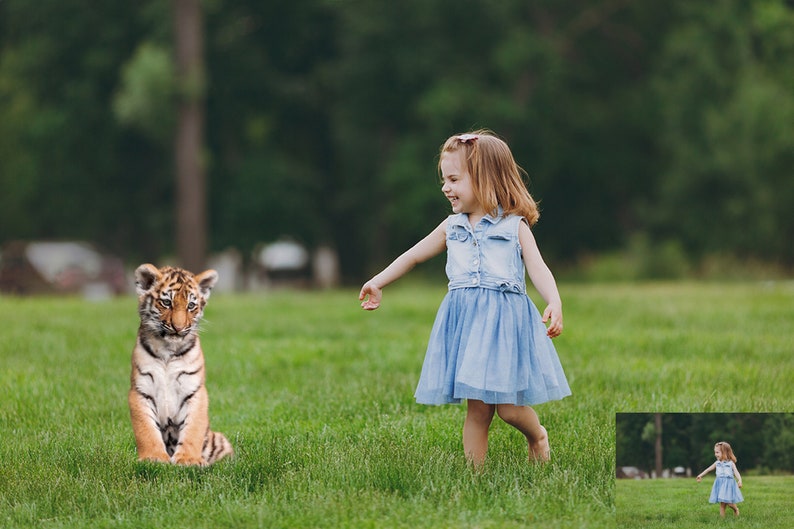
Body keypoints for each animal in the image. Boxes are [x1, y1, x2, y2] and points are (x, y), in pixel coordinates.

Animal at [128, 263, 233, 466]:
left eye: (190, 305)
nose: (178, 328)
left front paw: (188, 460)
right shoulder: (140, 391)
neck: (168, 350)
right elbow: (145, 429)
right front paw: (153, 458)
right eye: (166, 302)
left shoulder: (195, 391)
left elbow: (193, 429)